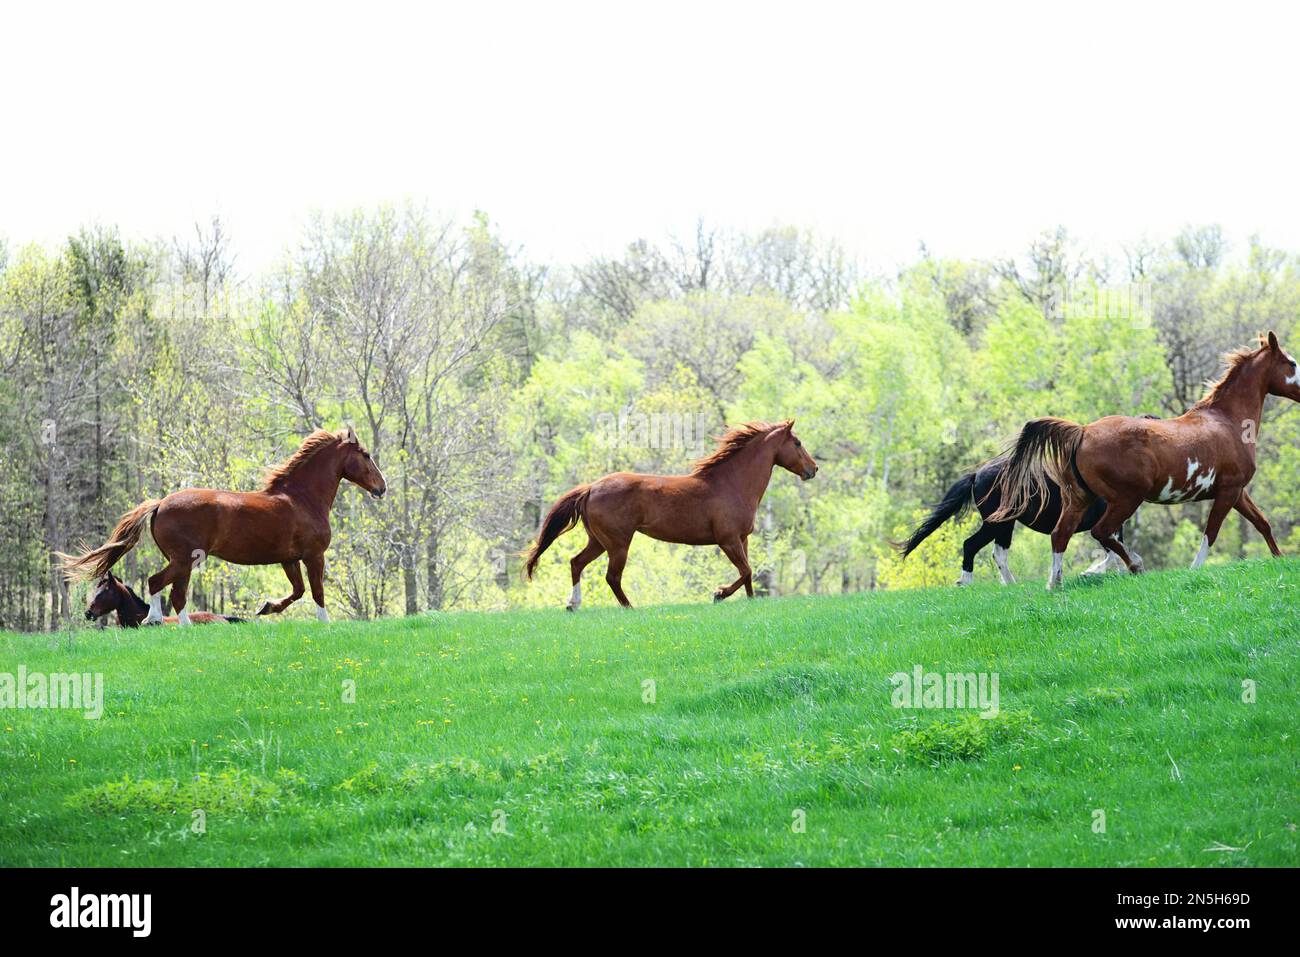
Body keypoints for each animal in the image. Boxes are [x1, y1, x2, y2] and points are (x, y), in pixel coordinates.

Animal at [524, 420, 817, 608]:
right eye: (798, 442)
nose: (813, 469)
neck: (731, 484)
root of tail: (591, 488)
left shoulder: (742, 539)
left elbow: (748, 574)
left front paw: (749, 601)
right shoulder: (728, 540)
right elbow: (746, 570)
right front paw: (718, 594)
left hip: (598, 541)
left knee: (576, 563)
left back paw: (573, 604)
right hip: (618, 544)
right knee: (612, 577)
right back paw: (630, 608)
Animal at [993, 332, 1299, 589]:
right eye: (1292, 363)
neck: (1228, 420)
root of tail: (1083, 431)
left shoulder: (1237, 492)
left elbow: (1263, 523)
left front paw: (1279, 558)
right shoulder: (1228, 491)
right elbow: (1210, 534)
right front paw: (1194, 570)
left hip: (1080, 498)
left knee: (1061, 534)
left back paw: (1055, 584)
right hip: (1127, 498)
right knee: (1101, 532)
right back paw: (1135, 565)